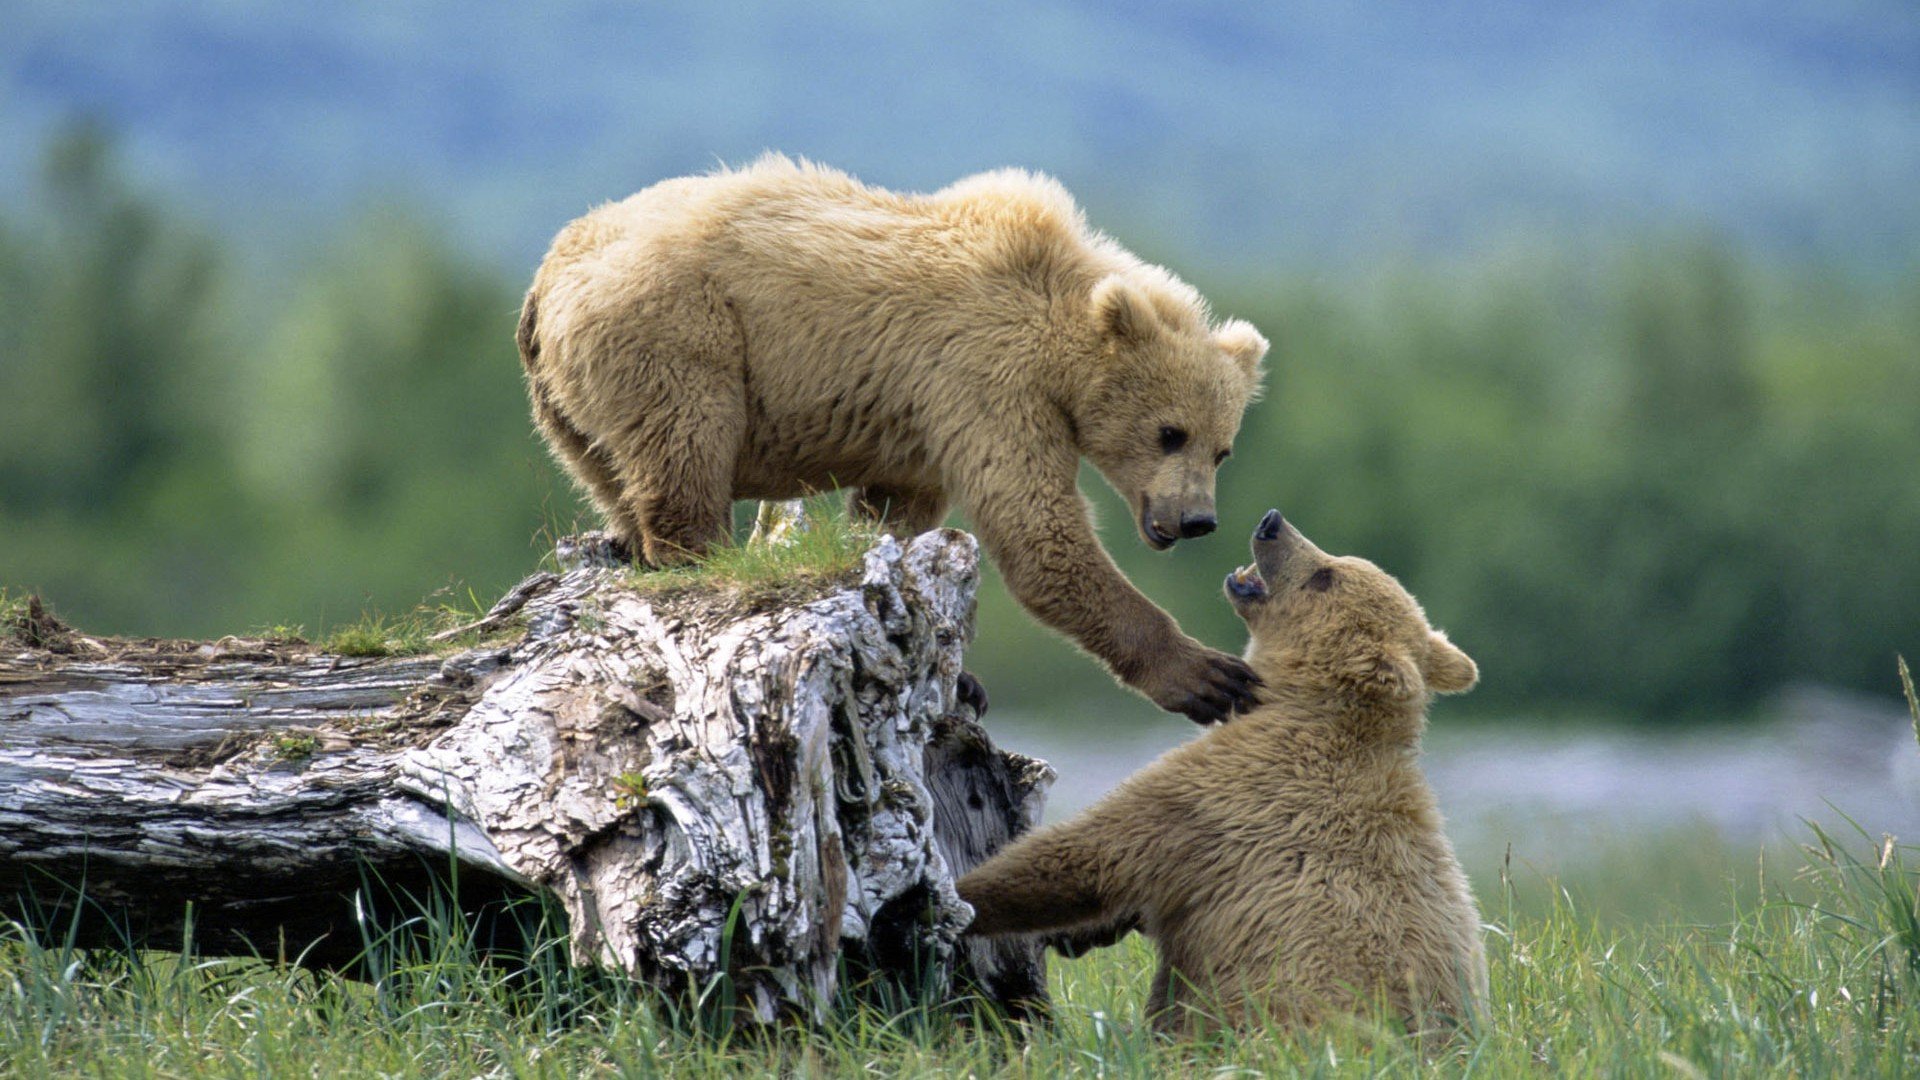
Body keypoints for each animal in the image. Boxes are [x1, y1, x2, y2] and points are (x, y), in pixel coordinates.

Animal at [517, 156, 1269, 723]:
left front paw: (959, 673)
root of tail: (546, 276)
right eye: (1170, 433)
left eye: (1221, 448)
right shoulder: (986, 380)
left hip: (568, 407)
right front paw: (1209, 675)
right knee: (686, 447)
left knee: (614, 476)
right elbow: (1038, 532)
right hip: (675, 331)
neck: (1059, 329)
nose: (1197, 519)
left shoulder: (924, 423)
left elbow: (897, 515)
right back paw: (702, 554)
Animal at [955, 509, 1486, 1036]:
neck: (1304, 705)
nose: (1272, 523)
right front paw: (1081, 933)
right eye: (1336, 562)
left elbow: (1087, 856)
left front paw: (960, 897)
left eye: (1325, 575)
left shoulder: (1225, 796)